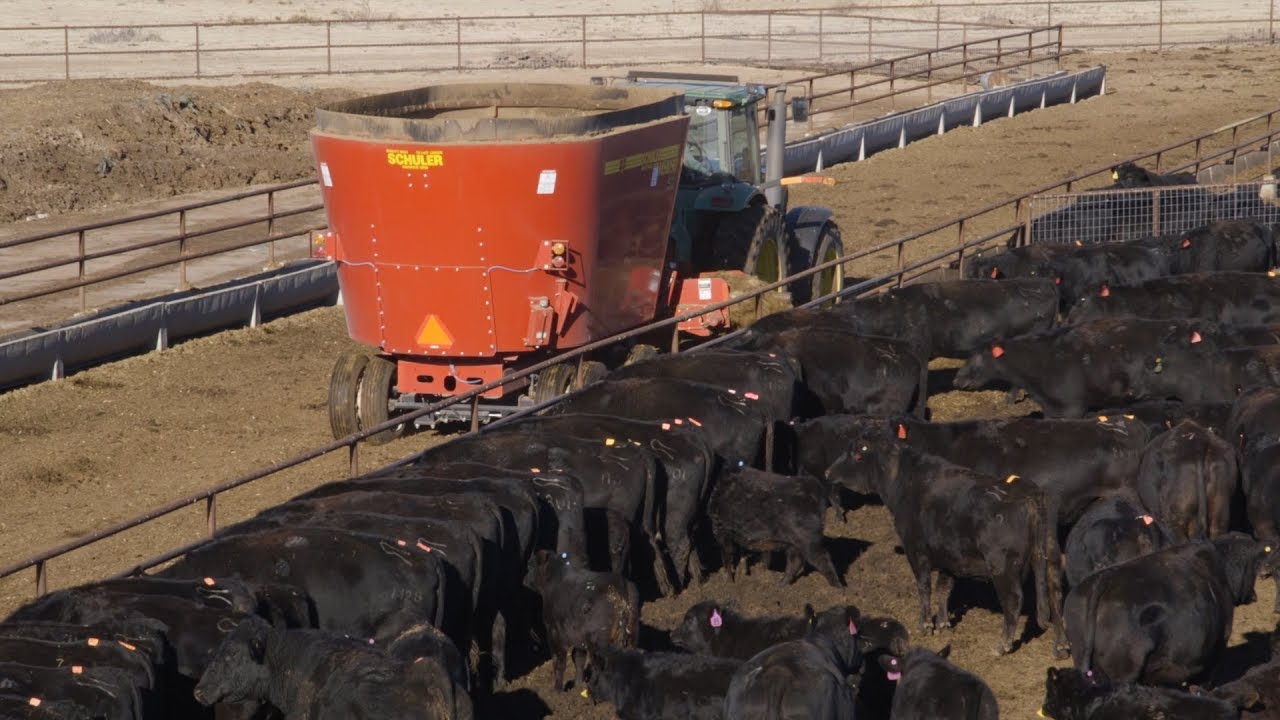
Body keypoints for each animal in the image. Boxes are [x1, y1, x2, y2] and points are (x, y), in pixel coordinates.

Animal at [523, 550, 639, 692]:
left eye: (530, 565)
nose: (525, 579)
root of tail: (618, 584)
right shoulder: (578, 637)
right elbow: (578, 658)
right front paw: (578, 684)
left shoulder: (553, 633)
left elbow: (559, 661)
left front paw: (557, 690)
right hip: (632, 633)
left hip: (597, 641)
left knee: (598, 664)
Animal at [707, 467, 843, 587]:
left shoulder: (720, 529)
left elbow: (727, 556)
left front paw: (728, 582)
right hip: (794, 543)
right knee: (795, 561)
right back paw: (780, 585)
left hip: (807, 539)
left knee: (822, 558)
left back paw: (837, 588)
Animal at [826, 439, 1066, 656]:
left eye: (857, 453)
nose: (828, 472)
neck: (906, 483)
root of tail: (1027, 492)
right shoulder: (948, 557)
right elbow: (944, 588)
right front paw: (942, 623)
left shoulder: (916, 550)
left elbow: (924, 587)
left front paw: (925, 625)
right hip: (1050, 559)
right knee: (1056, 596)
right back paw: (1061, 647)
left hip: (1002, 567)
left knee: (1014, 600)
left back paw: (1002, 645)